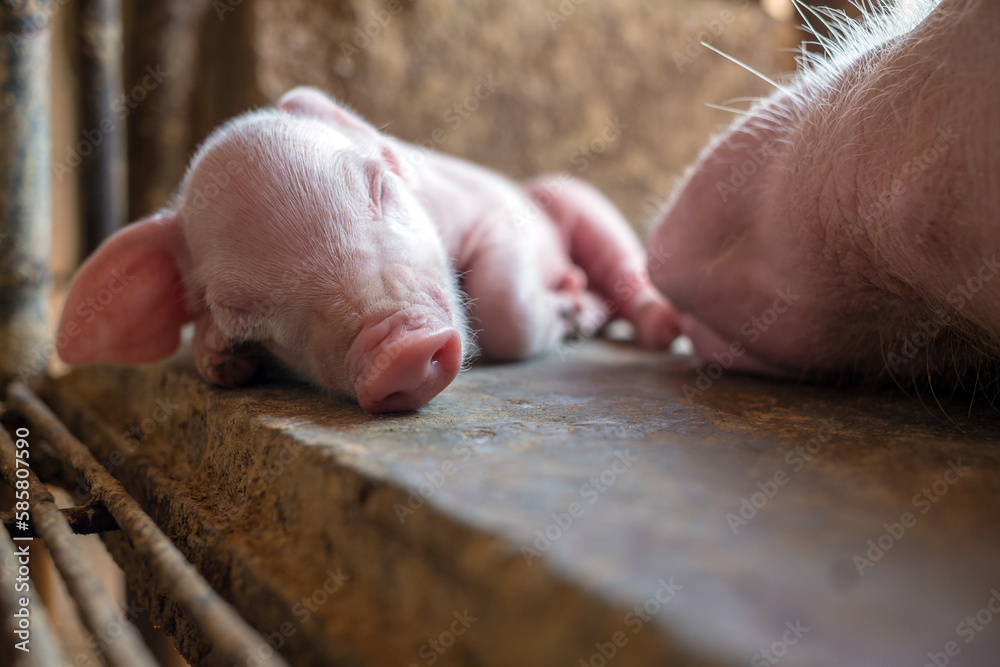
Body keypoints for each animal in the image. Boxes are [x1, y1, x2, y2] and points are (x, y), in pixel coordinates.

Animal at [58, 87, 677, 413]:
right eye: (241, 313)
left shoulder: (502, 215)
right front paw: (223, 361)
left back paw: (621, 316)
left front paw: (571, 307)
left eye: (377, 187)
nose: (398, 347)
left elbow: (506, 308)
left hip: (577, 200)